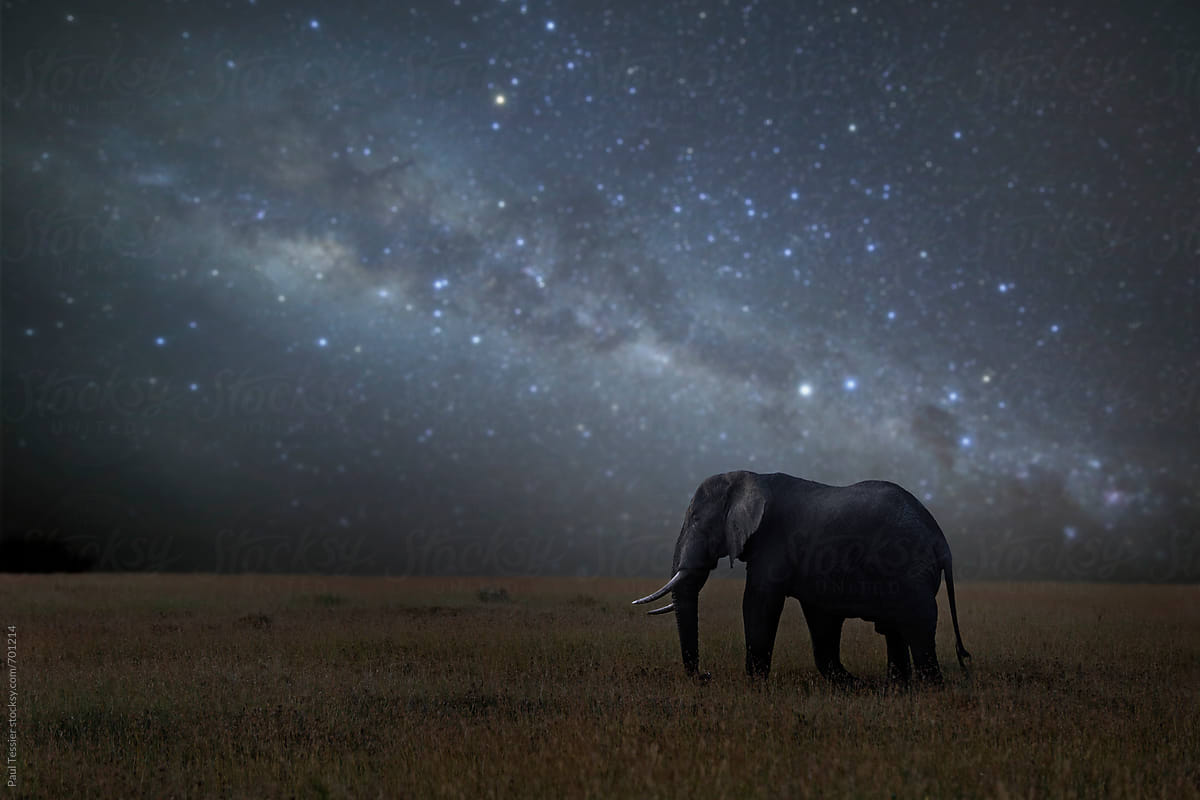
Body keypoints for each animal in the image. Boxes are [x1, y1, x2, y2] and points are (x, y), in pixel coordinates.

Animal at [633, 471, 971, 685]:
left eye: (696, 520)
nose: (705, 676)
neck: (748, 477)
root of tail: (942, 541)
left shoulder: (773, 540)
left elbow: (759, 601)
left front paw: (755, 684)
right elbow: (820, 617)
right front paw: (851, 684)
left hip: (909, 566)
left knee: (917, 623)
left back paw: (929, 687)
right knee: (894, 628)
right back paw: (897, 685)